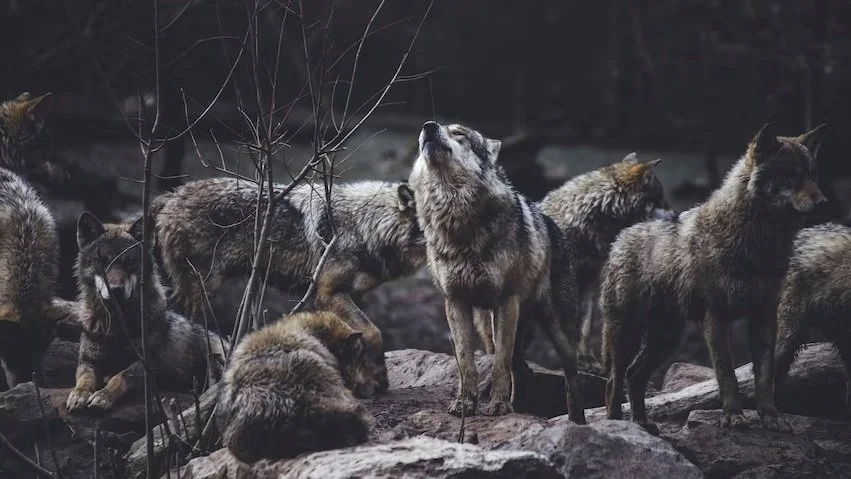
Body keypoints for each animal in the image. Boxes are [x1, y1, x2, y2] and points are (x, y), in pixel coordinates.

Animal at [66, 212, 225, 412]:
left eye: (130, 263)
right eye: (103, 262)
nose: (116, 290)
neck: (118, 326)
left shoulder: (148, 364)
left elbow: (121, 376)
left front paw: (103, 396)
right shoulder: (88, 361)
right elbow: (84, 378)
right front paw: (79, 394)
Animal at [152, 178, 425, 397]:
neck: (366, 226)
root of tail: (170, 196)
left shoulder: (346, 296)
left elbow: (356, 338)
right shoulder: (328, 293)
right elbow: (373, 332)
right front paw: (379, 378)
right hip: (203, 290)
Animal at [408, 120, 585, 423]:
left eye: (459, 133)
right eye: (427, 131)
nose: (428, 127)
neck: (457, 221)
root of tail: (553, 225)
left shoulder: (506, 301)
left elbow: (499, 364)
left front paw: (499, 406)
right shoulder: (455, 303)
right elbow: (466, 362)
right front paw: (465, 404)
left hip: (557, 333)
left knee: (571, 380)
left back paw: (577, 422)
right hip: (489, 327)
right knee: (524, 371)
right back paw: (521, 410)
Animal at [601, 123, 827, 432]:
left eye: (812, 175)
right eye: (792, 175)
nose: (823, 201)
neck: (757, 242)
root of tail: (621, 237)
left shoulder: (764, 316)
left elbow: (764, 377)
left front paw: (771, 417)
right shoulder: (717, 316)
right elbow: (726, 374)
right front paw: (733, 416)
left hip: (666, 339)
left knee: (635, 374)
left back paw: (642, 424)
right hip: (628, 334)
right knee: (614, 379)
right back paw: (617, 425)